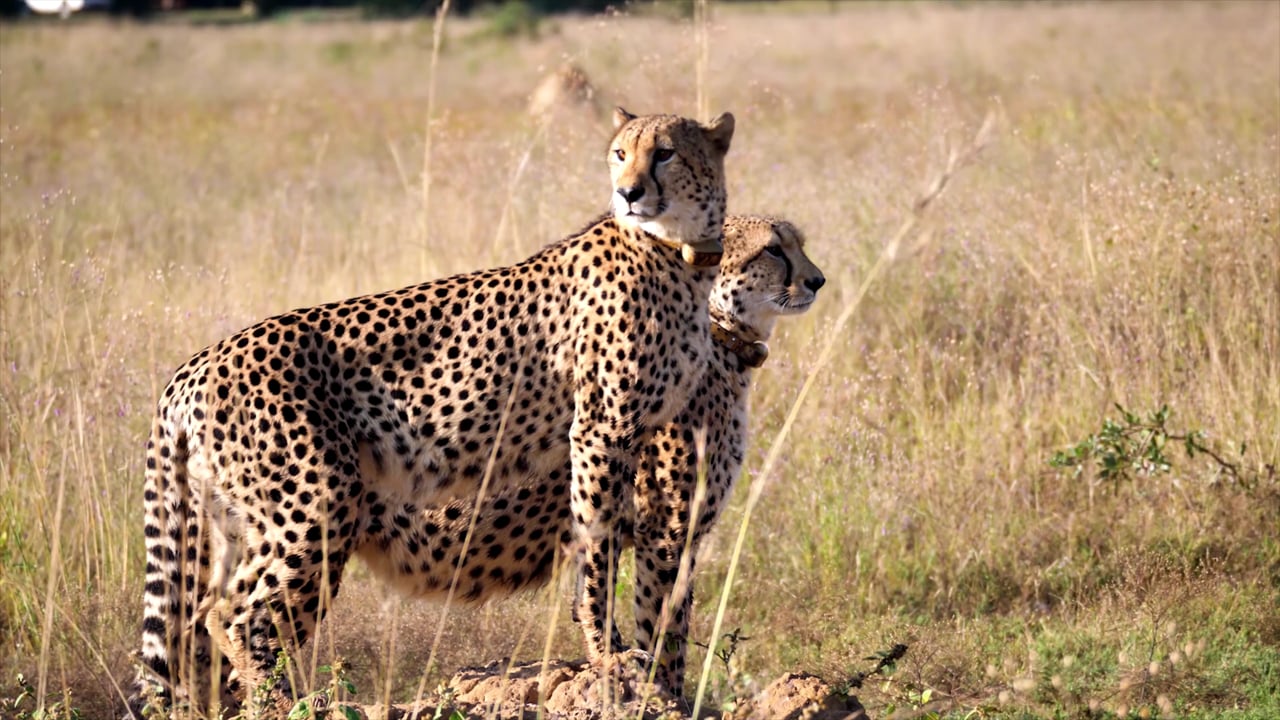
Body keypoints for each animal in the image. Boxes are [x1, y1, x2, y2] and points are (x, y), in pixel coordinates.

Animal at [126, 107, 734, 717]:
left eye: (665, 153)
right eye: (619, 153)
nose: (628, 192)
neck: (678, 253)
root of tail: (198, 361)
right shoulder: (601, 432)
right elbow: (598, 549)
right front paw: (610, 657)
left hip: (238, 521)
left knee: (200, 624)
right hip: (315, 505)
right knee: (235, 615)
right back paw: (292, 703)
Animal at [379, 215, 826, 696]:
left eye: (798, 244)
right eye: (773, 249)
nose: (818, 280)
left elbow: (596, 595)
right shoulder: (666, 532)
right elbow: (665, 626)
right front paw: (663, 692)